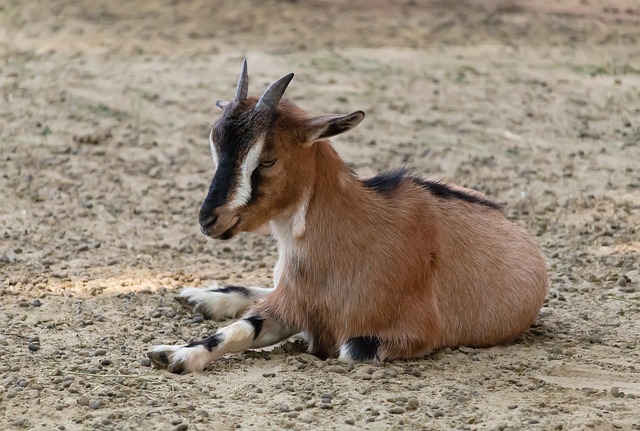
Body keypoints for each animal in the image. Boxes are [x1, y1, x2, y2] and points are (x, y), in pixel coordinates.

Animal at [147, 60, 548, 373]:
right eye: (215, 145)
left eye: (268, 159)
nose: (209, 219)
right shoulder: (291, 303)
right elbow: (240, 329)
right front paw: (173, 353)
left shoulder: (405, 334)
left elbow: (344, 348)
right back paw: (201, 296)